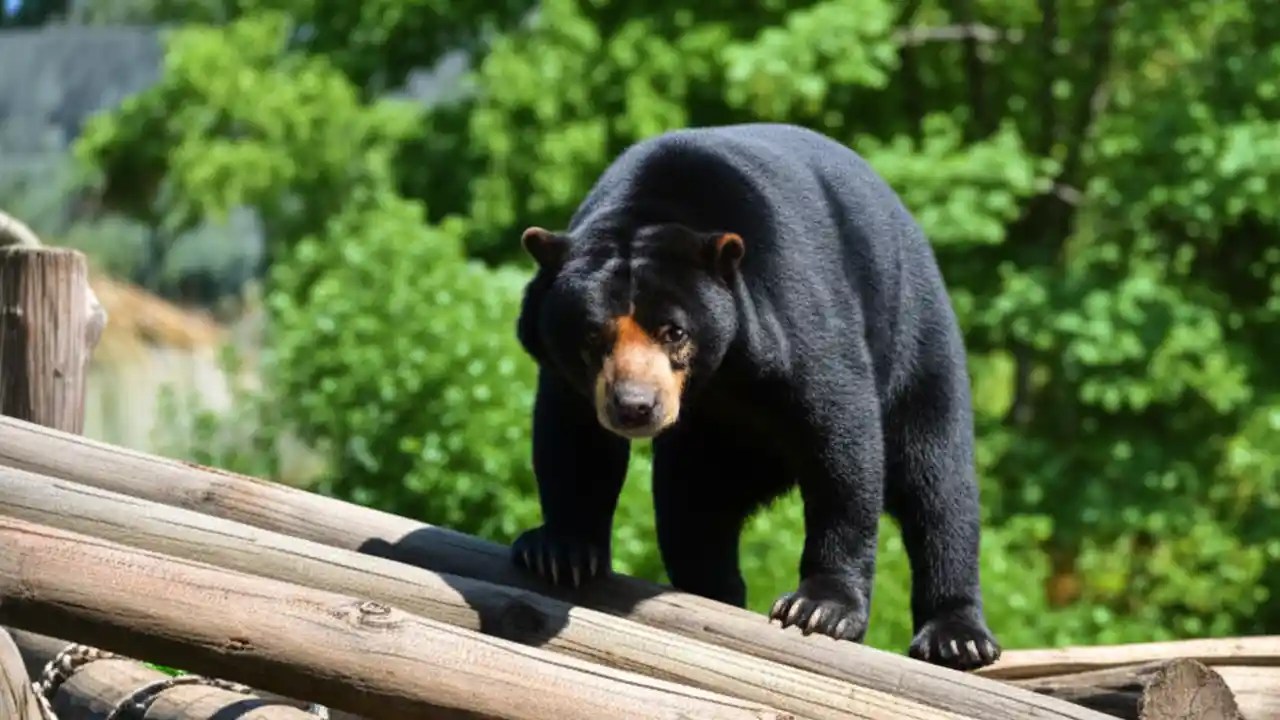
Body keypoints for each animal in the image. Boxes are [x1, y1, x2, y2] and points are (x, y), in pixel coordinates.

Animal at [510, 122, 1001, 670]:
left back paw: (957, 637)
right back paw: (714, 589)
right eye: (593, 335)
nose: (634, 406)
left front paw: (819, 609)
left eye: (674, 332)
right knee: (691, 507)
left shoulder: (790, 308)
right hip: (713, 450)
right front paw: (559, 552)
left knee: (937, 481)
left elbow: (842, 438)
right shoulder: (569, 371)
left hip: (917, 340)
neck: (721, 377)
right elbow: (573, 440)